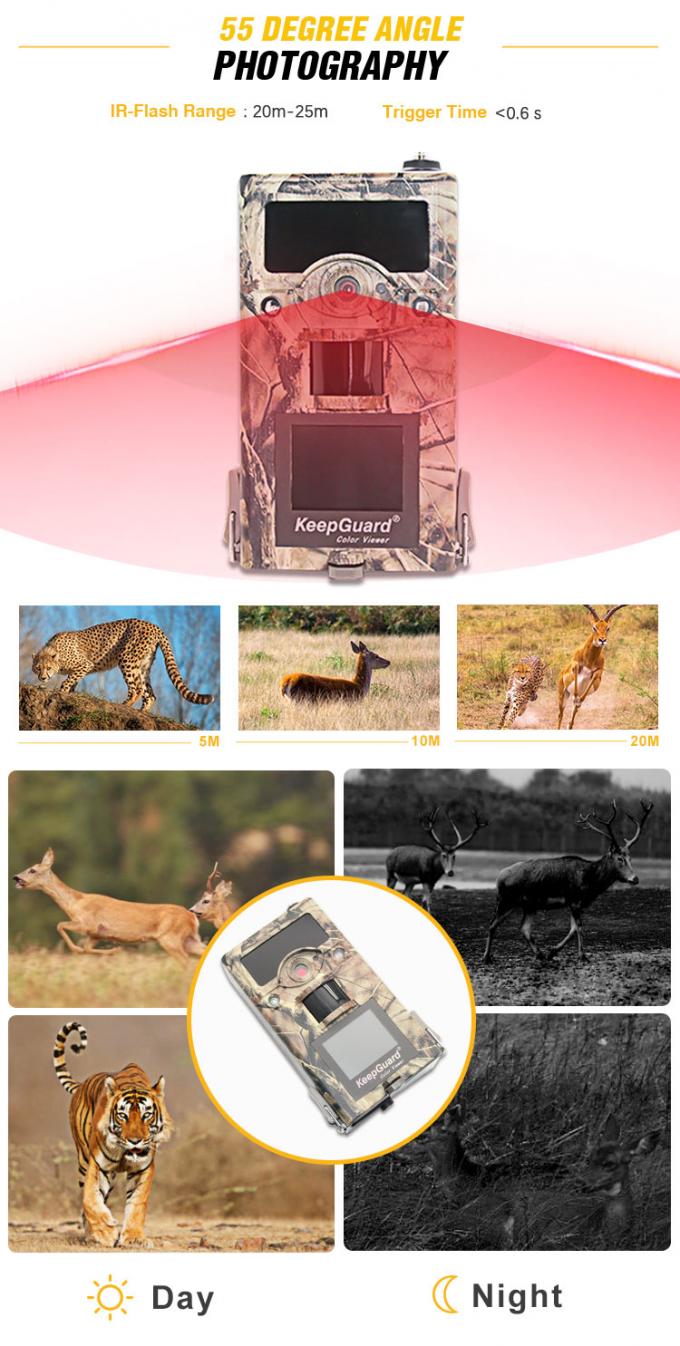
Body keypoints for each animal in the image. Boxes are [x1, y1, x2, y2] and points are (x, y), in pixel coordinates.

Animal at [13, 847, 206, 965]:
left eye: (32, 870)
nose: (15, 877)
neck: (75, 903)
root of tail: (191, 916)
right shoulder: (96, 934)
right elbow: (86, 948)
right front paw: (115, 951)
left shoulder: (88, 924)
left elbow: (60, 925)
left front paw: (79, 949)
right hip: (189, 939)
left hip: (170, 938)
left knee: (186, 962)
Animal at [482, 798, 653, 964]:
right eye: (620, 859)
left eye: (630, 858)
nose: (635, 878)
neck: (591, 883)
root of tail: (499, 877)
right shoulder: (574, 899)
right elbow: (579, 927)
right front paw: (582, 956)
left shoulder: (576, 903)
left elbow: (573, 929)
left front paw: (552, 952)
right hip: (506, 900)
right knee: (492, 925)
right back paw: (486, 957)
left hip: (529, 905)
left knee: (524, 928)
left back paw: (540, 954)